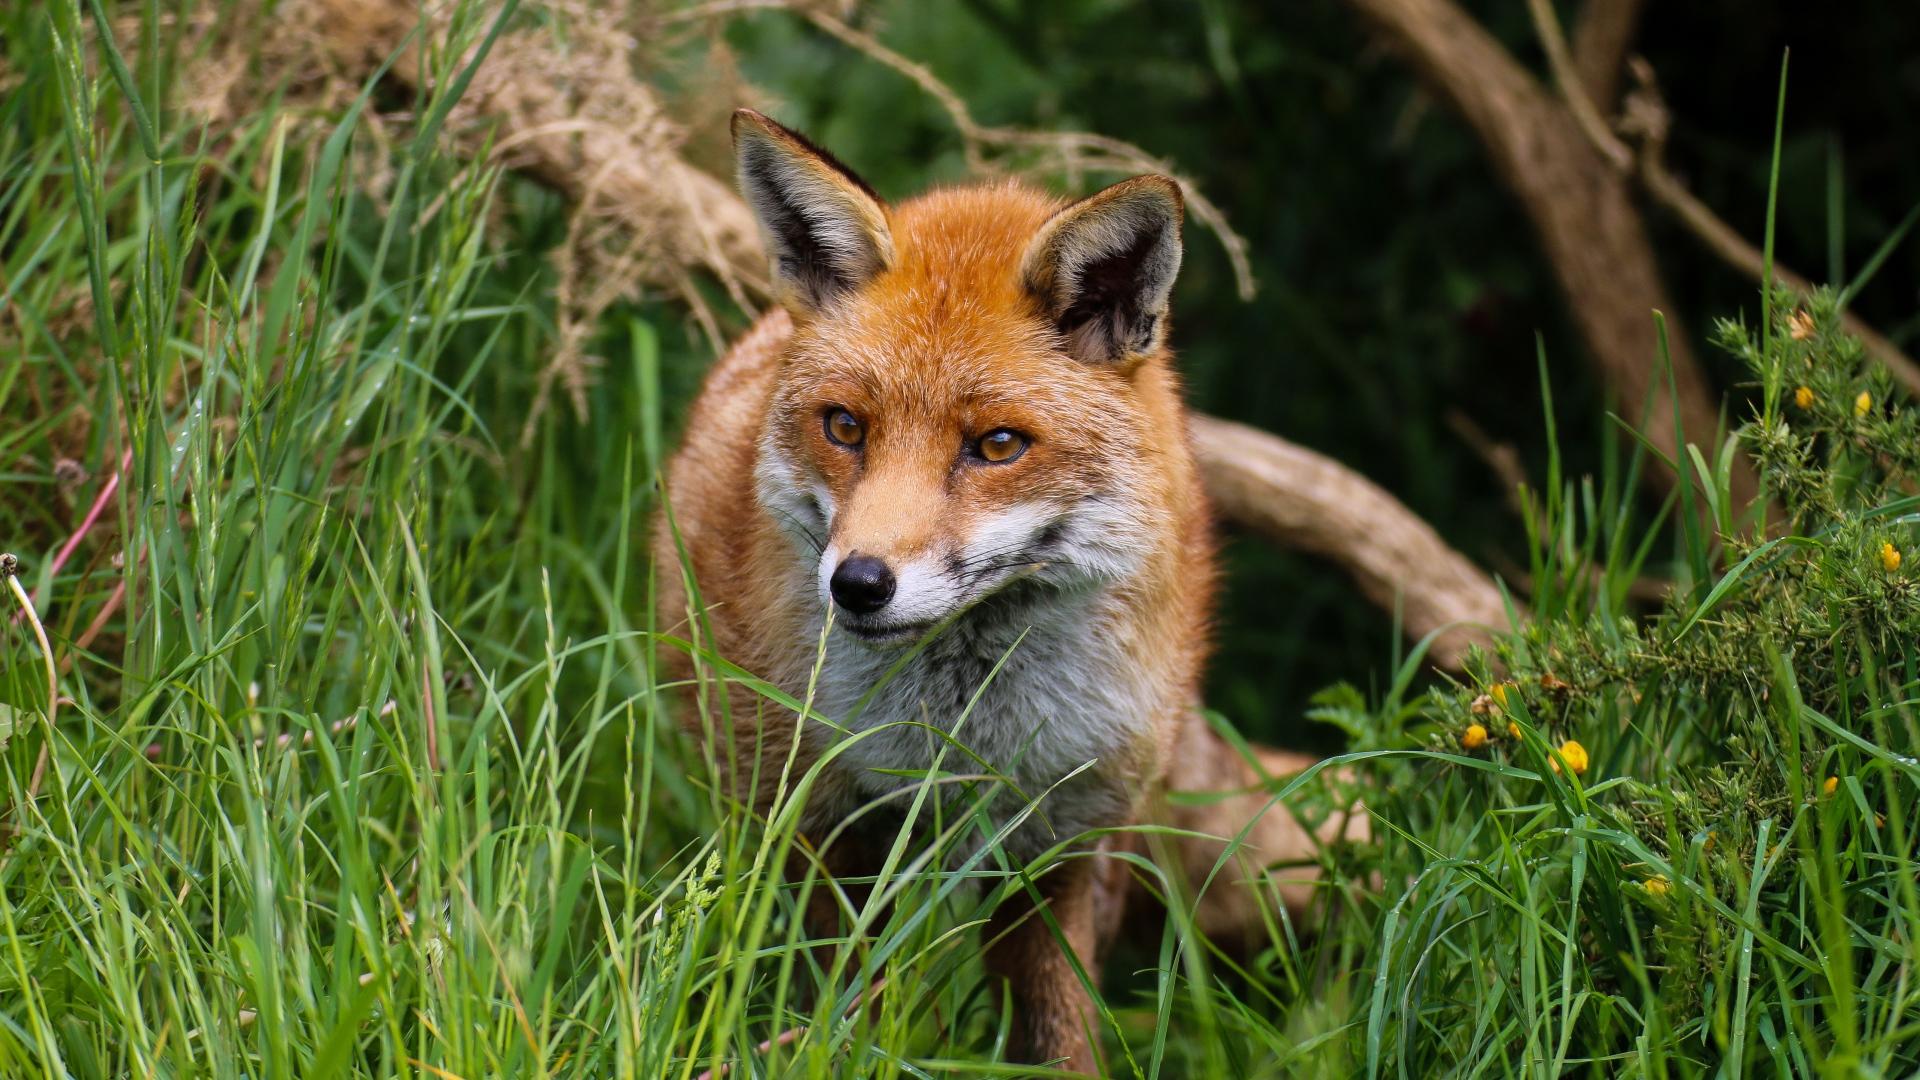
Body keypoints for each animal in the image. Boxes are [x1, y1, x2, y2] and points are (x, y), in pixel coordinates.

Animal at [654, 109, 1364, 1072]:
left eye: (996, 445)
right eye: (845, 427)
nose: (858, 584)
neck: (959, 734)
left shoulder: (1061, 846)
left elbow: (1059, 1029)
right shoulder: (827, 834)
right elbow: (846, 1009)